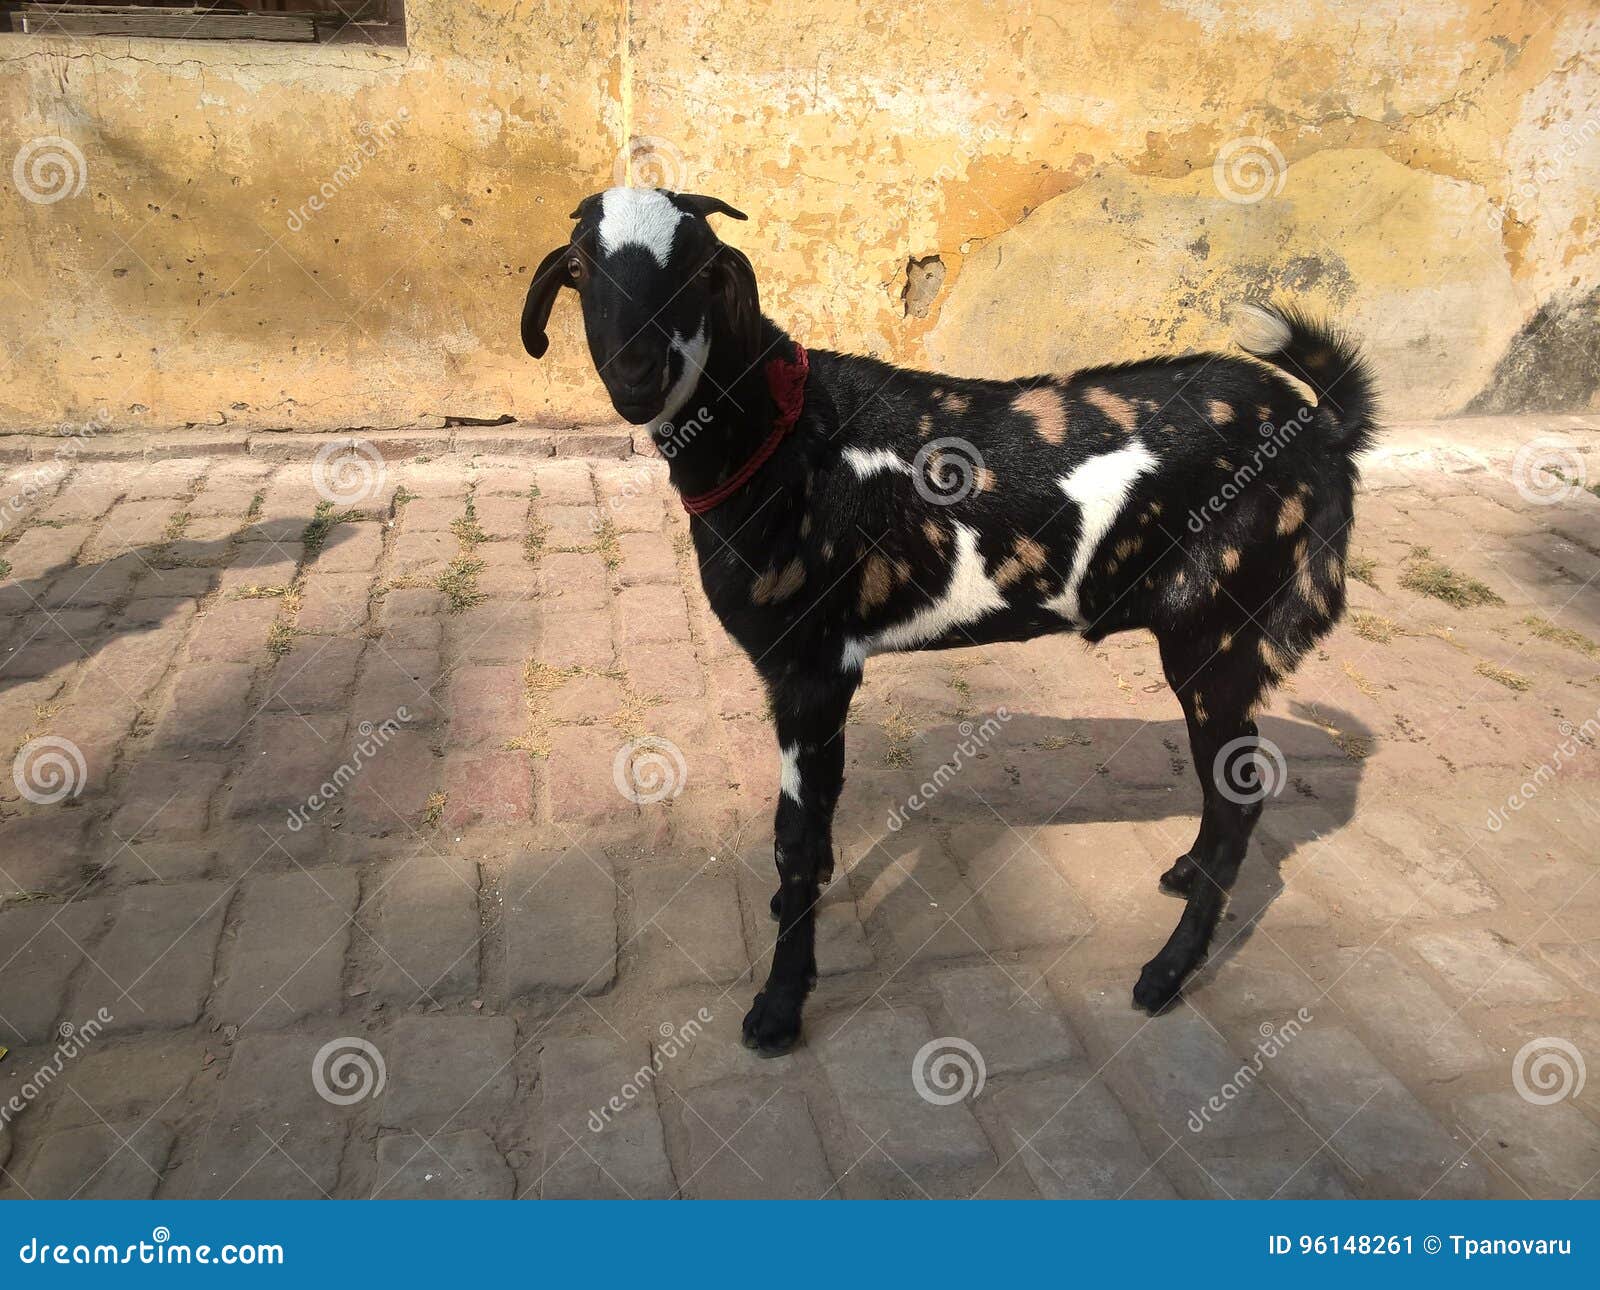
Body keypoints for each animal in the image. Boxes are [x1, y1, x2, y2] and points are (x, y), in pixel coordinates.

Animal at [521, 187, 1377, 1054]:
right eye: (578, 265)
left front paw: (780, 1005)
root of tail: (1322, 427)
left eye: (698, 267)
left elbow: (794, 834)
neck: (784, 438)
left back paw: (1166, 974)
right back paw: (1185, 878)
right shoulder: (823, 673)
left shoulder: (810, 665)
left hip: (1215, 629)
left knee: (1238, 797)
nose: (635, 374)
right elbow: (818, 817)